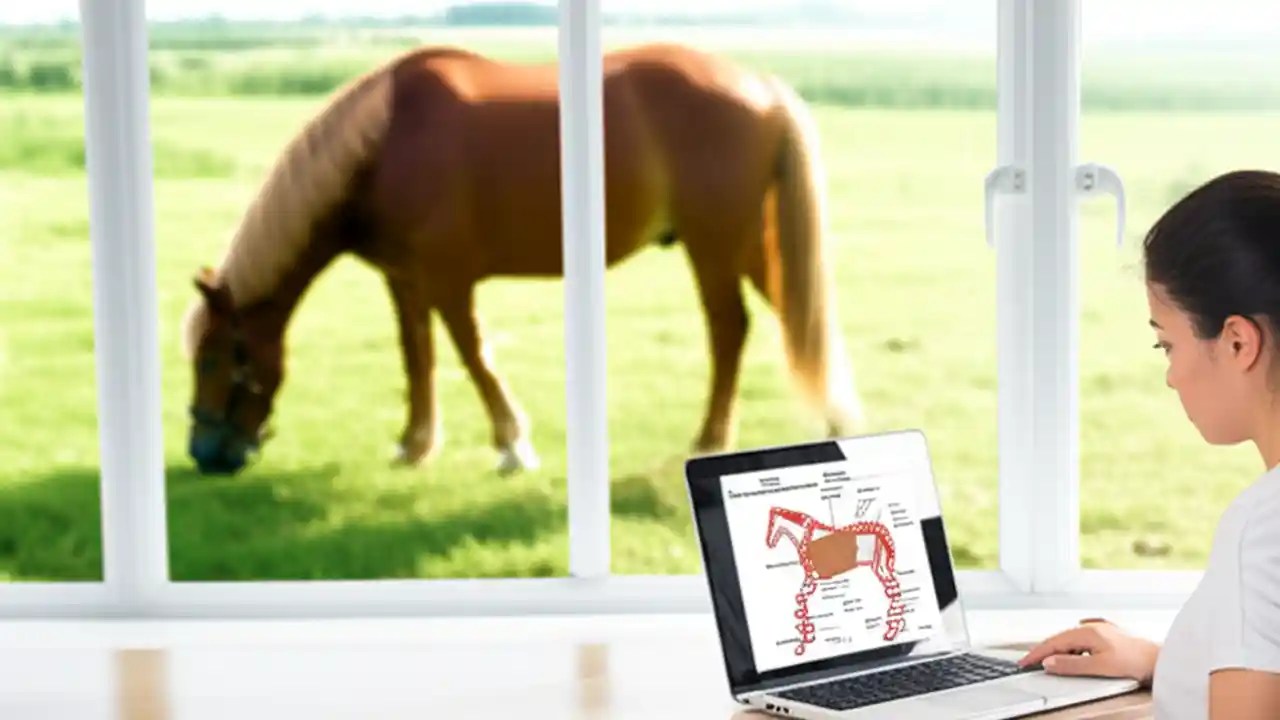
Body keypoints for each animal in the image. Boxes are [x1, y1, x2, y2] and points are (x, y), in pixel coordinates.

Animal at [181, 42, 865, 476]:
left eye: (217, 356)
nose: (203, 454)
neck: (381, 144)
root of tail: (763, 87)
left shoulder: (448, 280)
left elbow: (472, 356)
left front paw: (512, 446)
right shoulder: (405, 282)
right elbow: (418, 359)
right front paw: (415, 445)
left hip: (714, 246)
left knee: (730, 331)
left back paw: (710, 441)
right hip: (748, 244)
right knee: (795, 319)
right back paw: (839, 422)